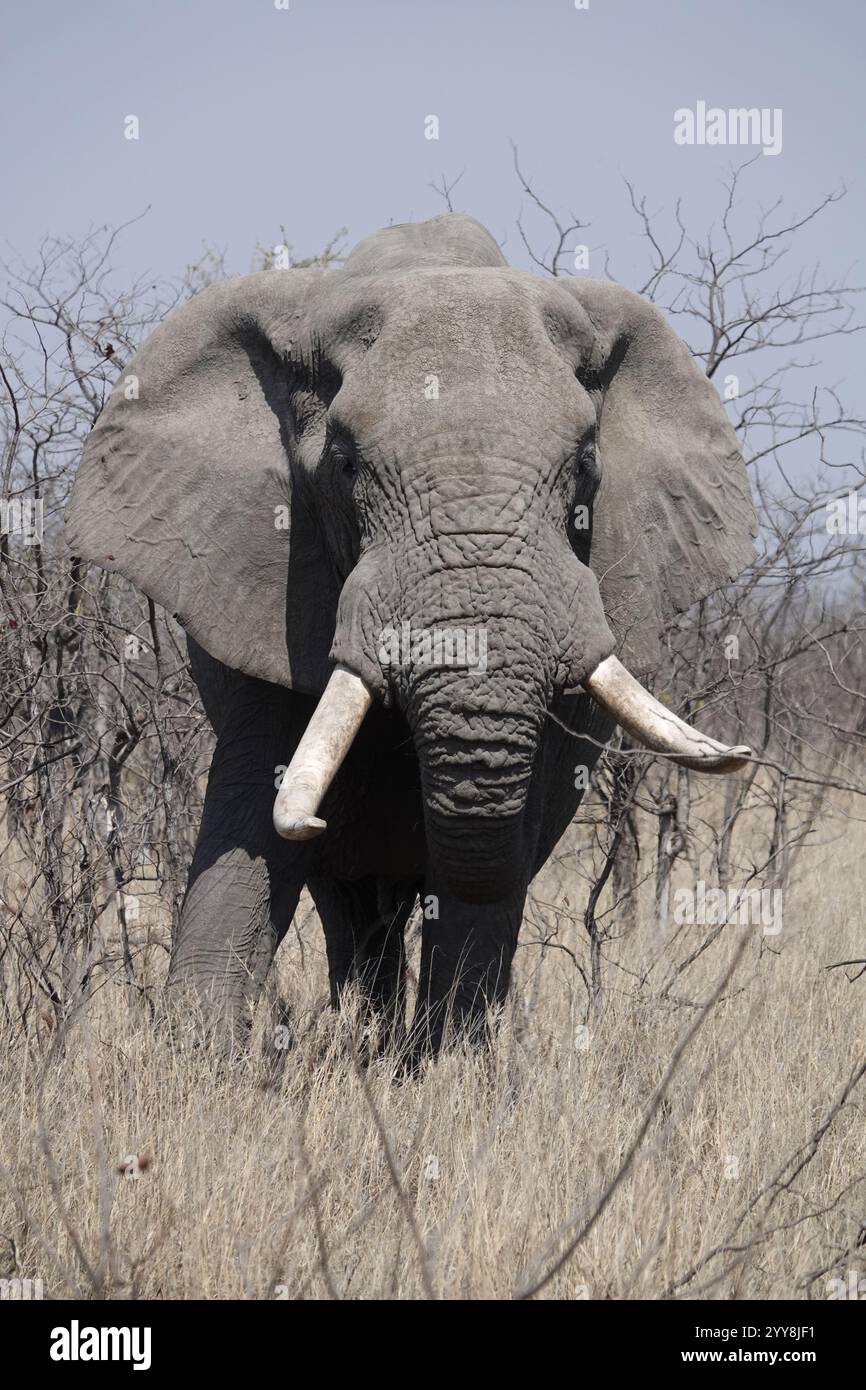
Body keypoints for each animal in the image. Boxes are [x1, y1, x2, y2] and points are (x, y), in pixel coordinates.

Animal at [66, 212, 756, 1059]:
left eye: (587, 461)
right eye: (344, 462)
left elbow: (501, 839)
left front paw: (450, 1068)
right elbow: (258, 801)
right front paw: (197, 1063)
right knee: (352, 906)